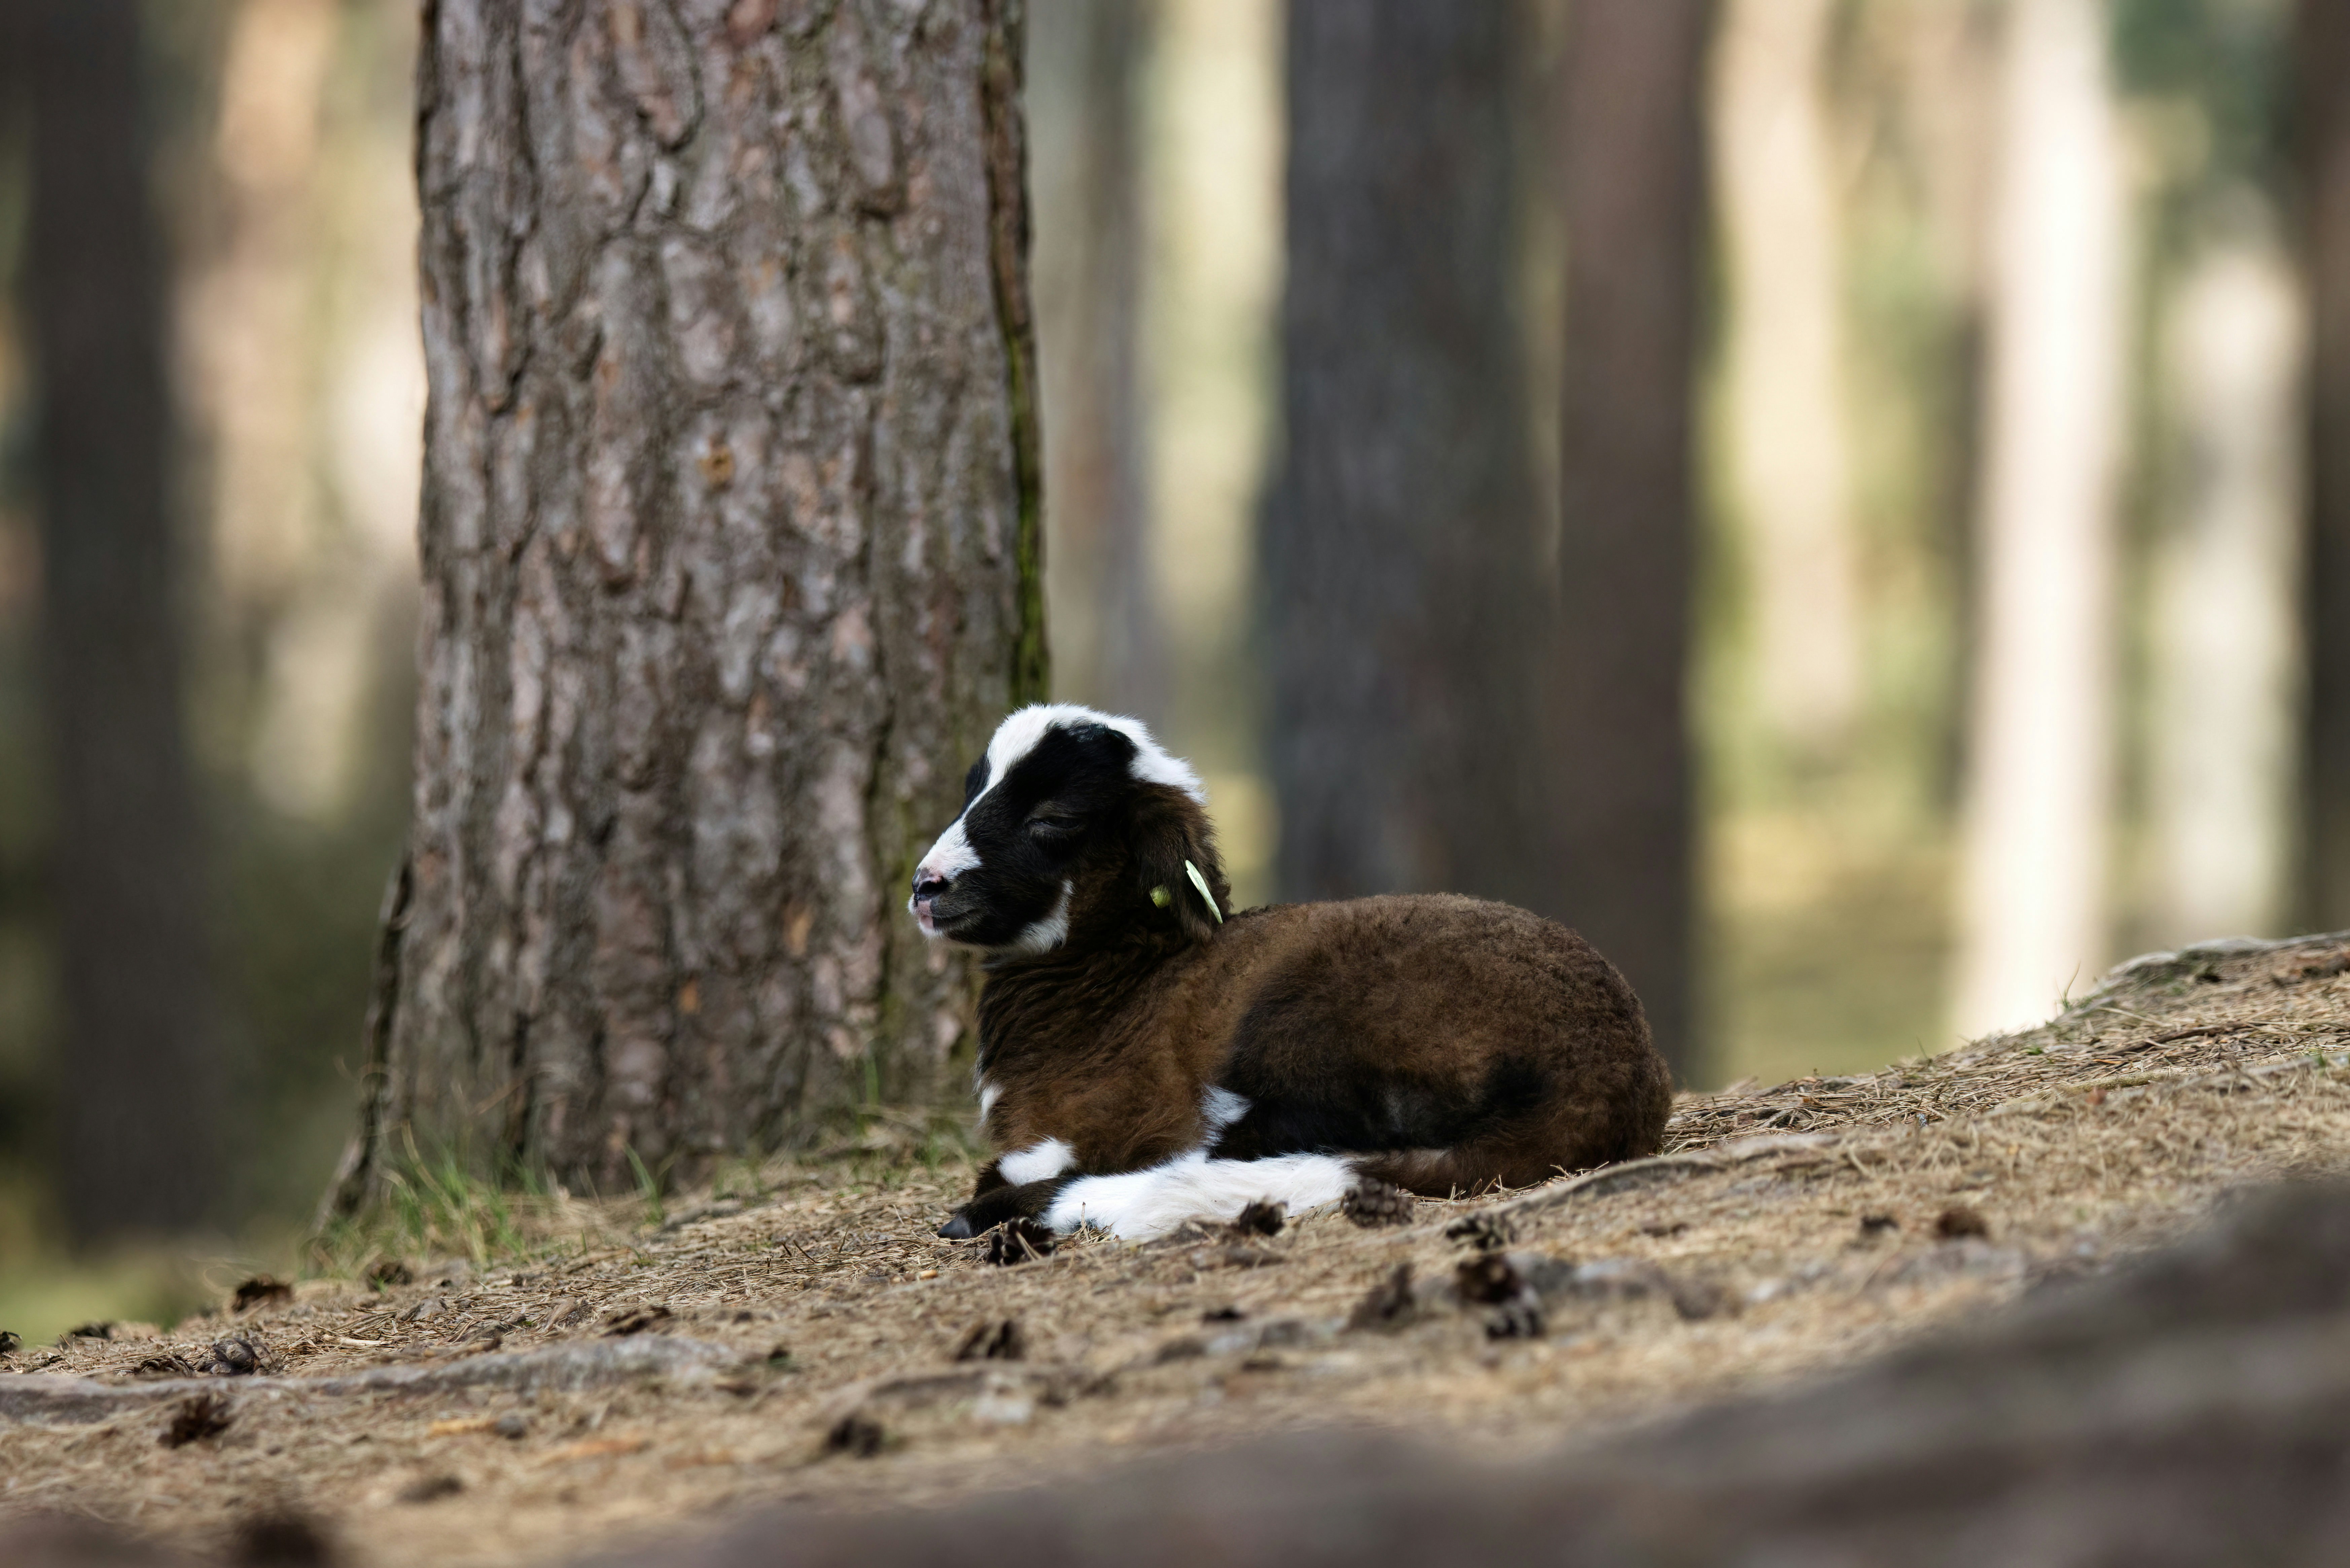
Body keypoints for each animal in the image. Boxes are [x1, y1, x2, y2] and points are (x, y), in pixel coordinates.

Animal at [908, 703, 1673, 1240]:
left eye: (1052, 818)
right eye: (971, 793)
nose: (924, 886)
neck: (1118, 984)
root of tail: (1607, 1080)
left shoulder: (1118, 1116)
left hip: (1319, 1027)